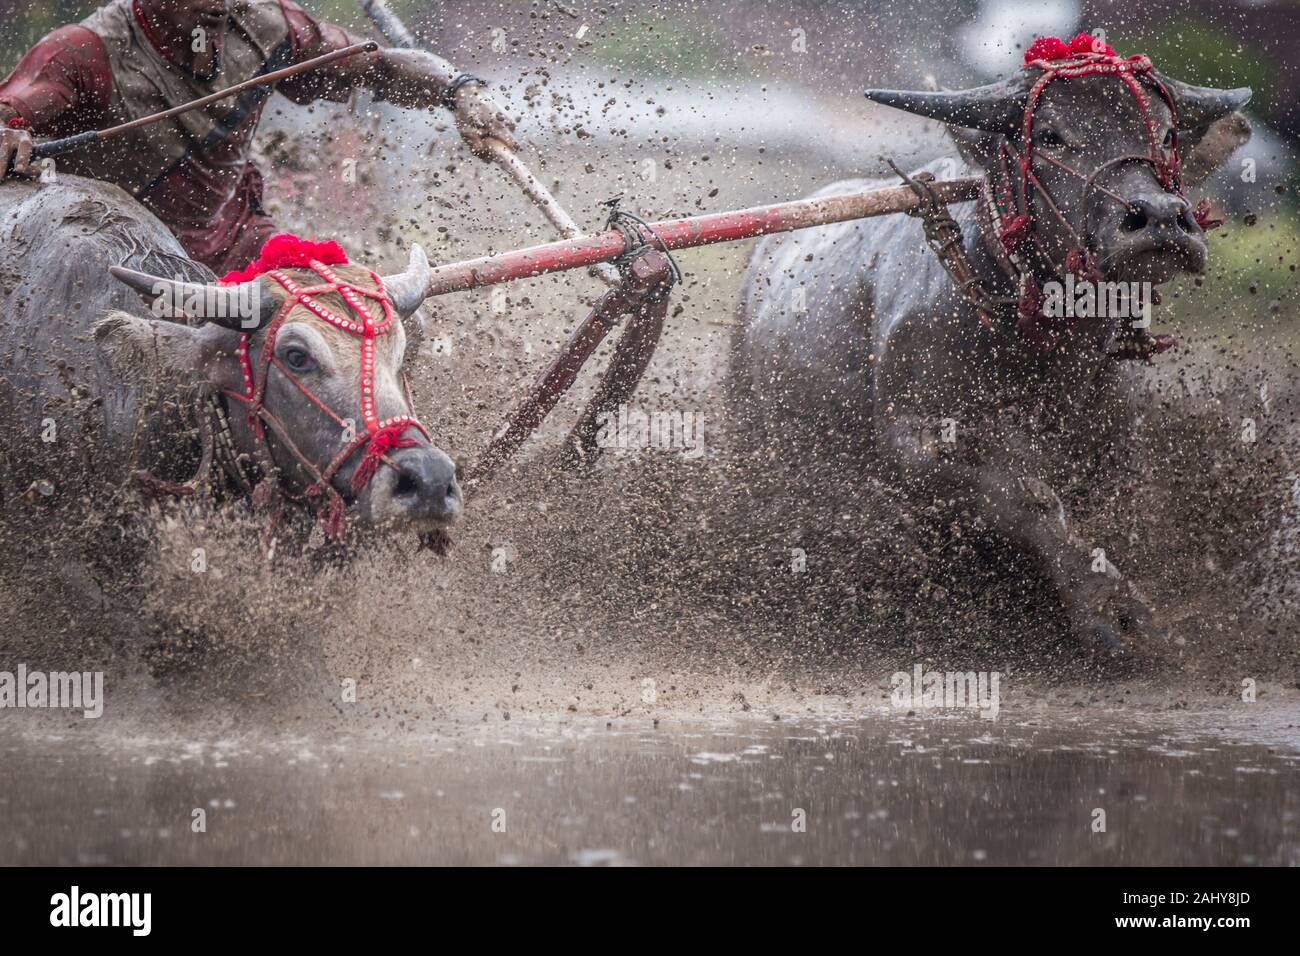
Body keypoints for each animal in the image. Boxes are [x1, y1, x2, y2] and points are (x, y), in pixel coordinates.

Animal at [734, 36, 1252, 654]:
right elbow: (1027, 494)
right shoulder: (920, 439)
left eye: (1168, 134)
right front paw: (1115, 612)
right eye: (1050, 135)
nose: (1159, 219)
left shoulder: (1117, 444)